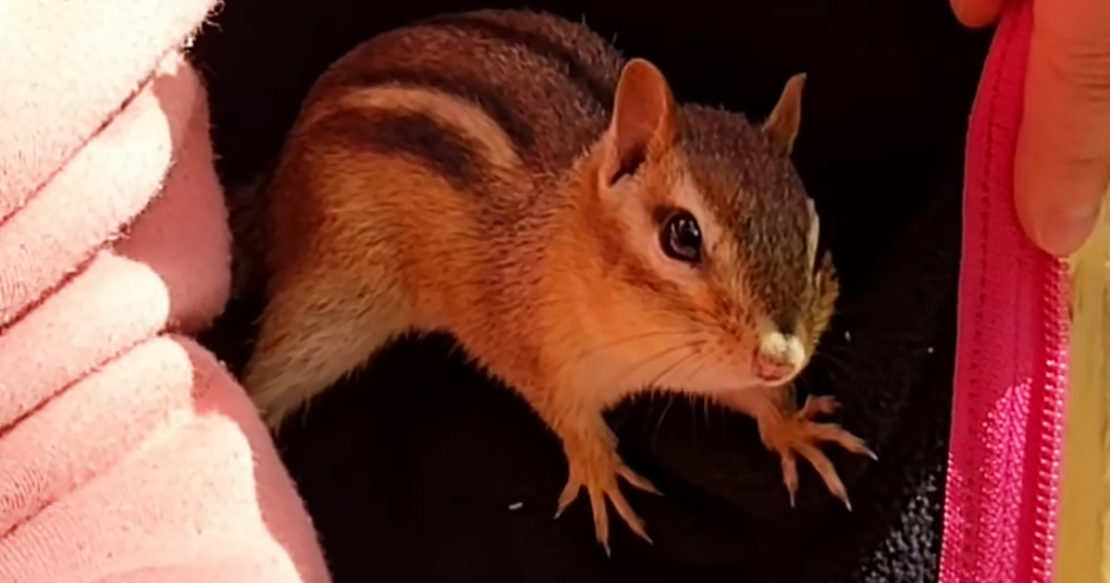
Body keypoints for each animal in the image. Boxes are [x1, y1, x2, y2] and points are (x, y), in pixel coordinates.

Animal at [241, 8, 876, 554]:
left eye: (815, 231)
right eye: (682, 235)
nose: (781, 358)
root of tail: (277, 176)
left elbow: (750, 396)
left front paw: (793, 427)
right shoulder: (532, 347)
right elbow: (566, 414)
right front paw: (599, 470)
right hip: (329, 304)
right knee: (268, 376)